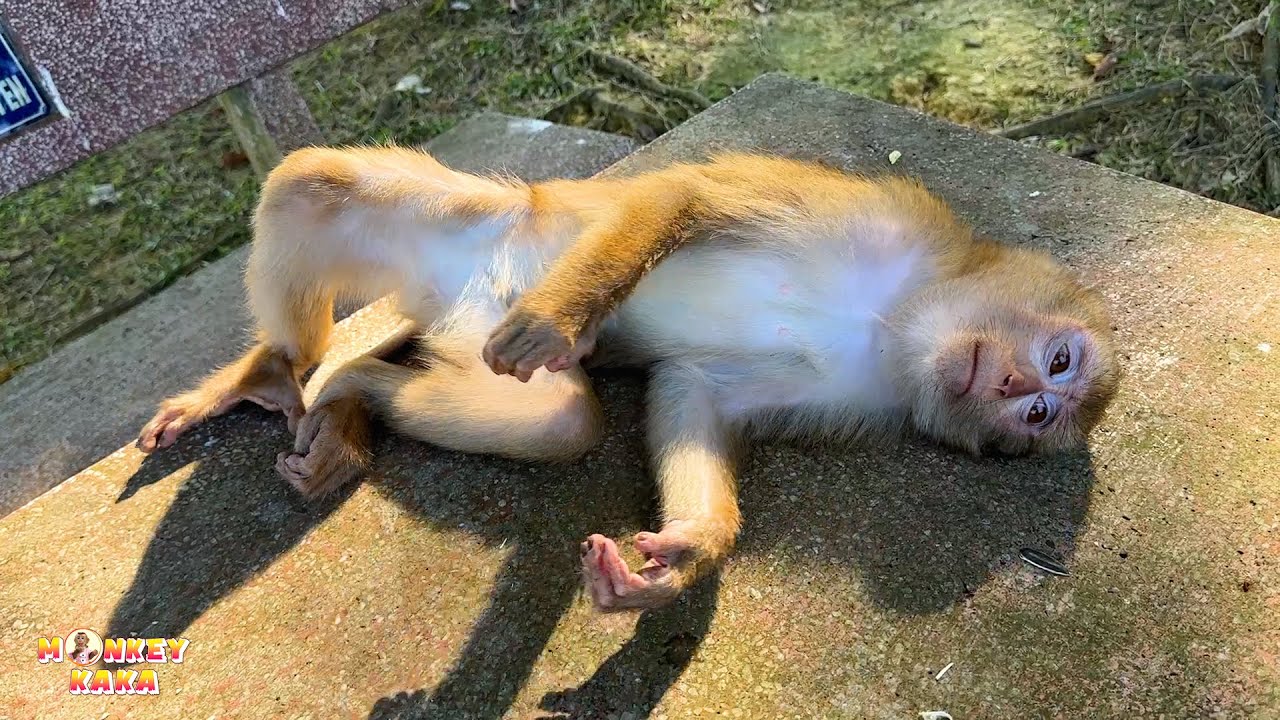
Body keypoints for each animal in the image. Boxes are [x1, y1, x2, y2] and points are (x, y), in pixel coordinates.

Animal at [136, 147, 1120, 611]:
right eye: (1056, 366)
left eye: (1042, 413)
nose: (1017, 393)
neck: (894, 316)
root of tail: (452, 290)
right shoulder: (878, 214)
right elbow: (686, 199)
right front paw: (563, 316)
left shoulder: (856, 389)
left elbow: (690, 396)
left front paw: (681, 557)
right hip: (464, 226)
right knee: (314, 181)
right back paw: (276, 368)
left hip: (461, 322)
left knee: (561, 422)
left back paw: (355, 390)